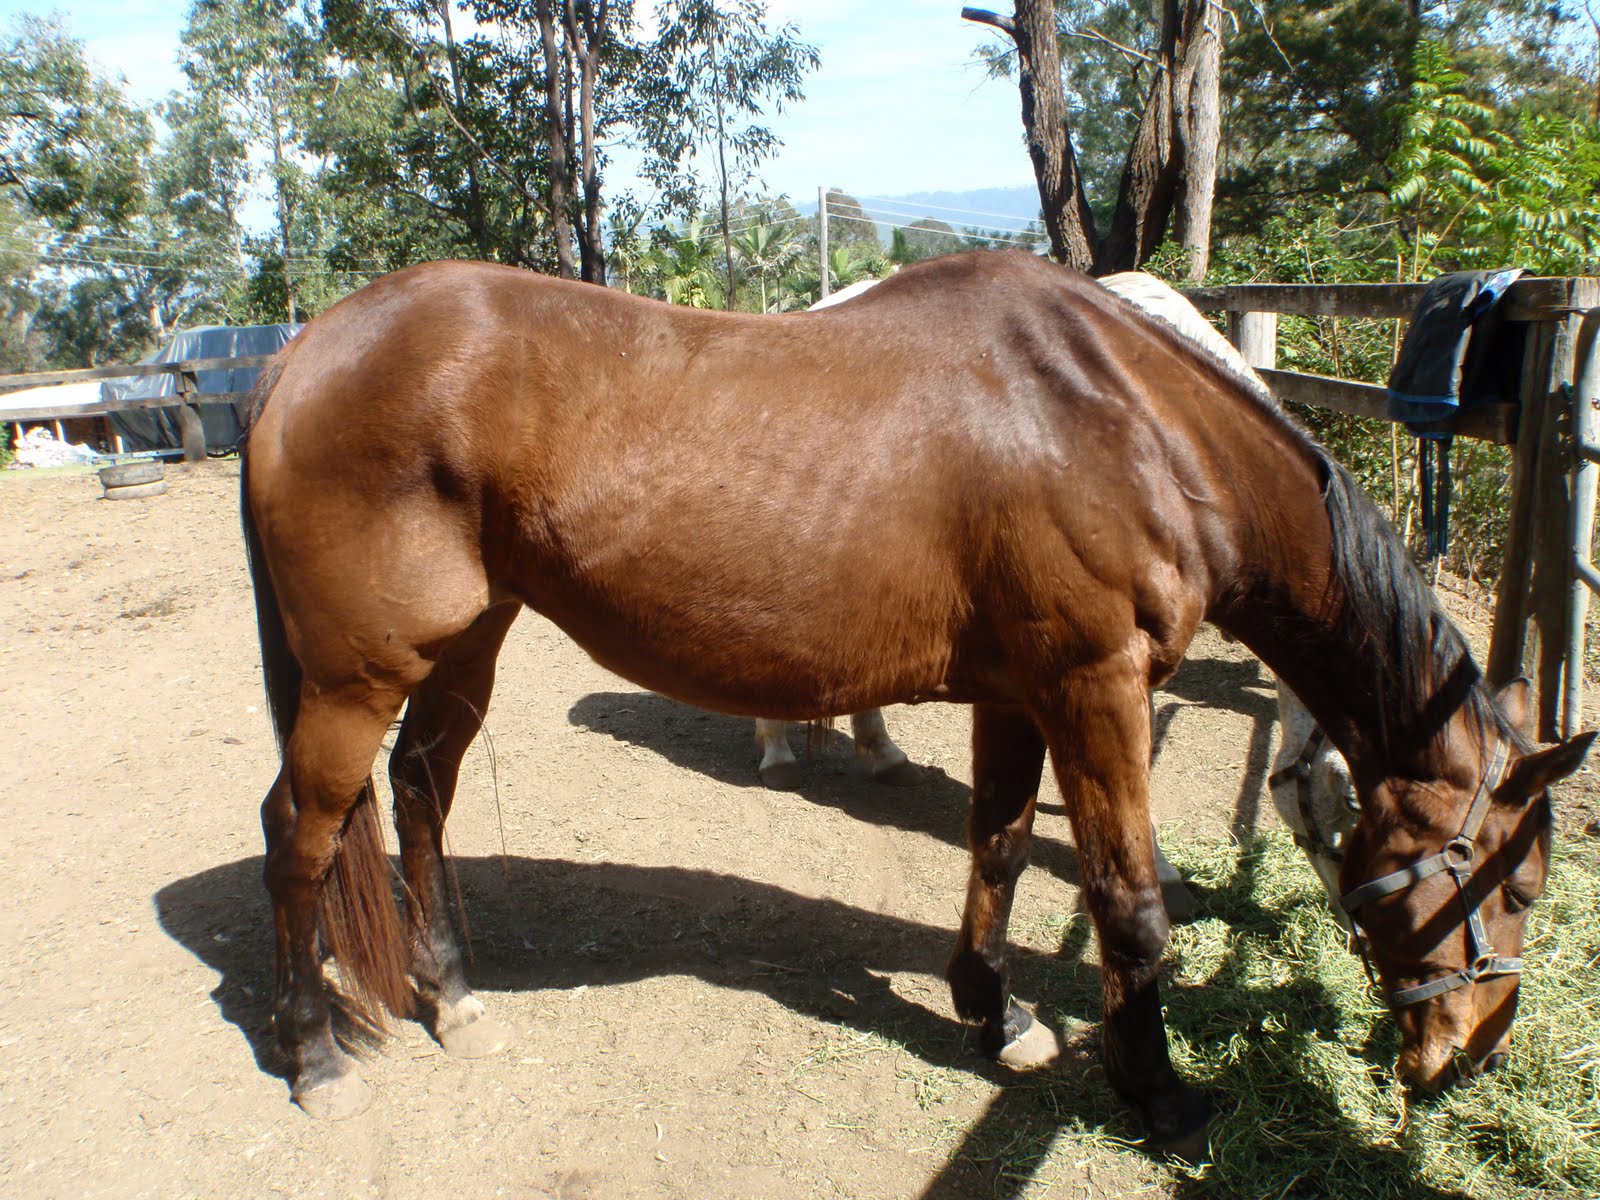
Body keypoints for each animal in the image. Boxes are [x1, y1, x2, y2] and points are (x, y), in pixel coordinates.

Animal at [240, 249, 1592, 1149]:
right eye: (1517, 882)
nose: (1473, 1049)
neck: (1120, 419)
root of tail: (309, 348)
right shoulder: (1094, 691)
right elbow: (1128, 904)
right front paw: (1157, 1094)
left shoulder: (1018, 696)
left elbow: (995, 847)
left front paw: (993, 1016)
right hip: (357, 675)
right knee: (300, 835)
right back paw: (312, 1053)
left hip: (464, 645)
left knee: (420, 792)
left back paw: (452, 997)